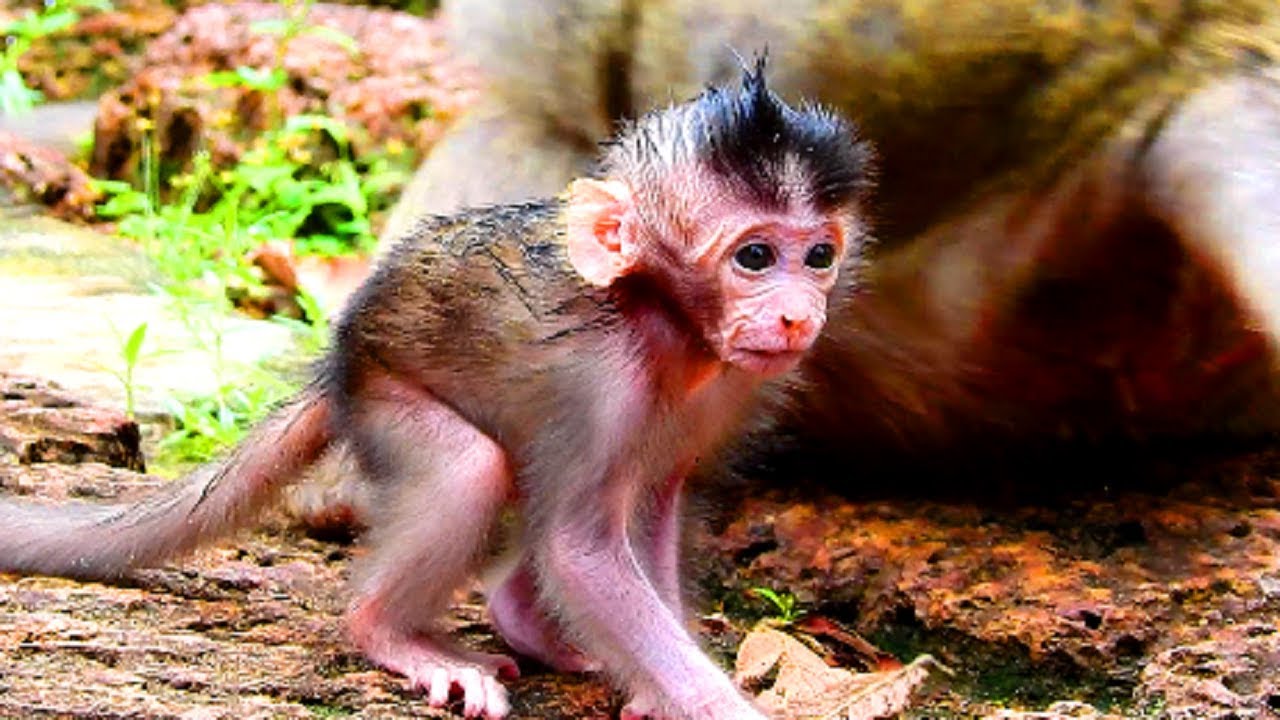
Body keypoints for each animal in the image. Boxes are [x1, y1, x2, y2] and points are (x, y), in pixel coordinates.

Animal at [0, 64, 876, 719]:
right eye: (755, 256)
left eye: (819, 255)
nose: (798, 314)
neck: (664, 326)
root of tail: (341, 357)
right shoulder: (599, 384)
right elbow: (581, 549)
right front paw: (714, 703)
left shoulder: (727, 386)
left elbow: (654, 505)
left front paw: (661, 689)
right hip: (385, 393)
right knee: (467, 470)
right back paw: (392, 633)